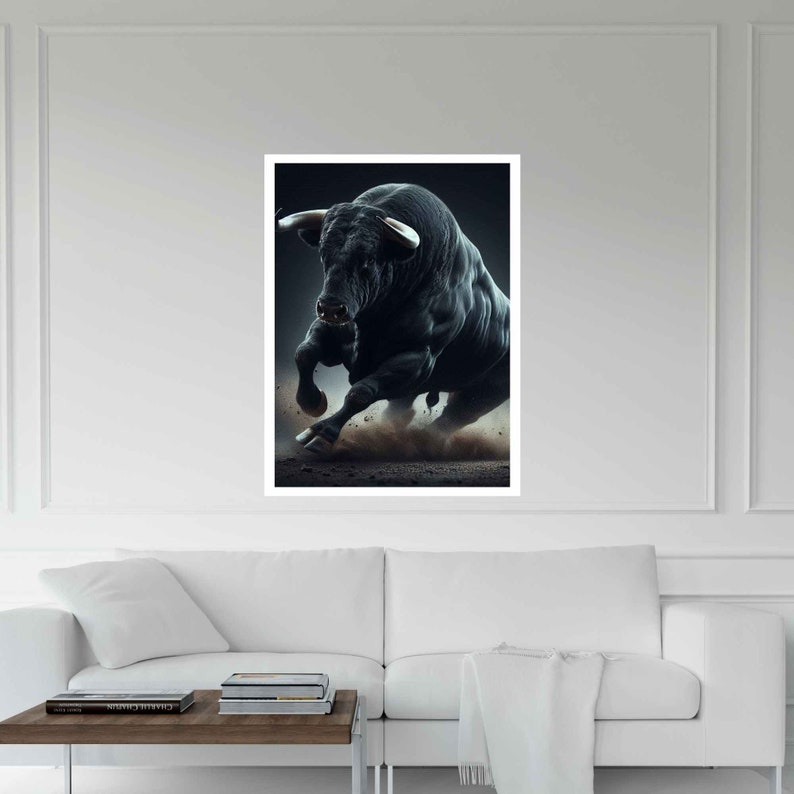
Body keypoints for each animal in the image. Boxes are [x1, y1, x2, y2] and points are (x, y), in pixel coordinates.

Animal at [276, 182, 510, 455]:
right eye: (324, 253)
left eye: (369, 258)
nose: (331, 308)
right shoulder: (329, 329)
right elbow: (304, 353)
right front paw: (312, 401)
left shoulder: (417, 359)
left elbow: (361, 392)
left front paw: (321, 433)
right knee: (402, 412)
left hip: (487, 391)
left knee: (454, 417)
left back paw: (422, 442)